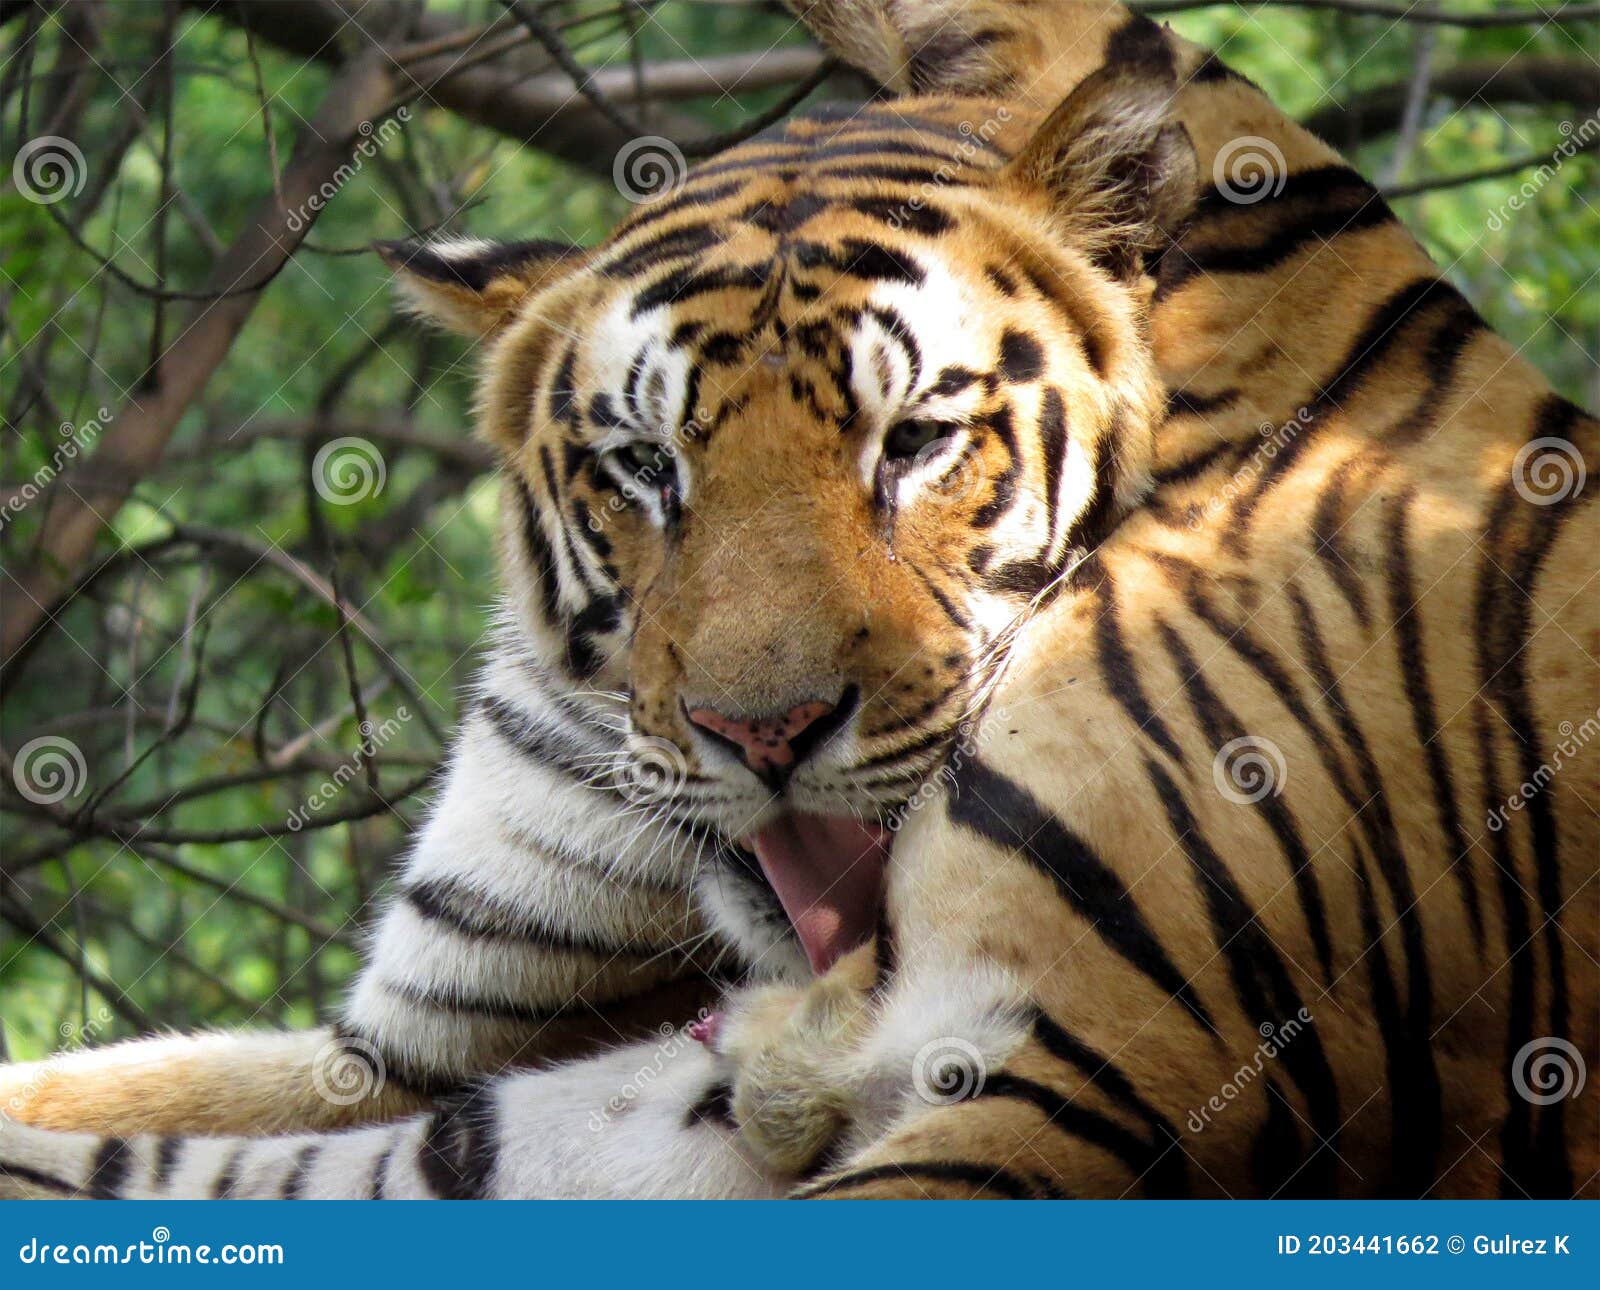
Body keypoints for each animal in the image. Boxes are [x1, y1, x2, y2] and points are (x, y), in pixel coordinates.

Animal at [2, 0, 1595, 1200]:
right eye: (646, 466)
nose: (761, 734)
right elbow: (120, 1110)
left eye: (917, 440)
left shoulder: (1101, 1077)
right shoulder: (429, 1051)